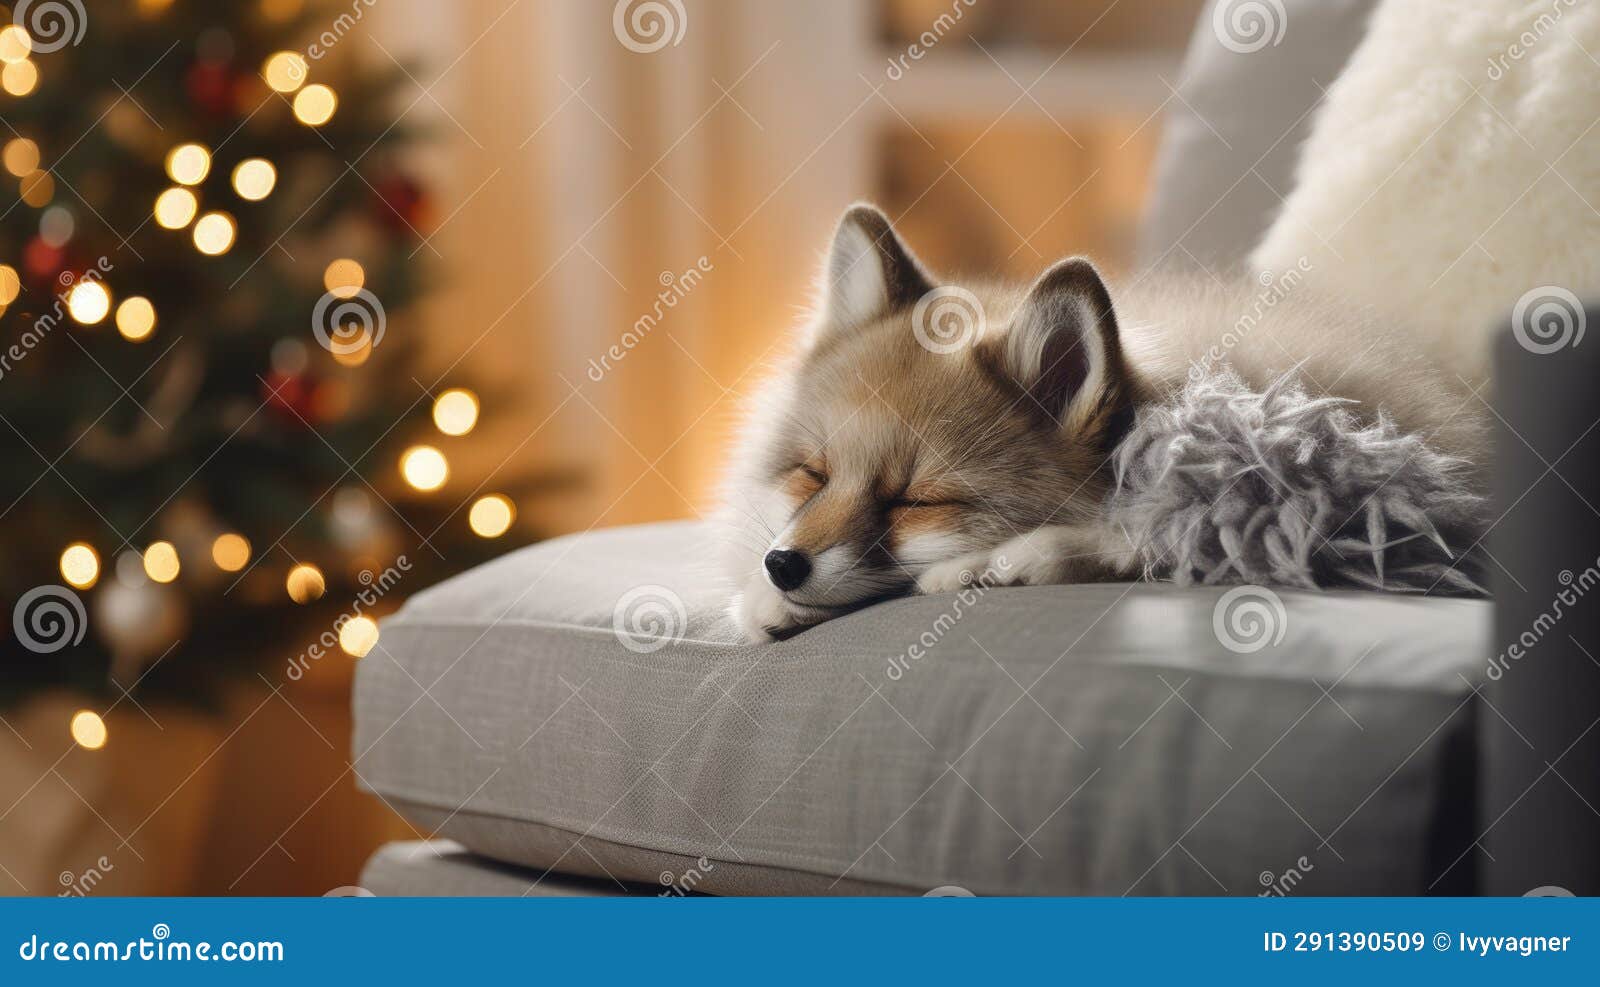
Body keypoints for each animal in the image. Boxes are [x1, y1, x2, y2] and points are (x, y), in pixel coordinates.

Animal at [721, 203, 1490, 642]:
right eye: (811, 473)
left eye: (917, 501)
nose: (783, 564)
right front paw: (766, 600)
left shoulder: (1327, 501)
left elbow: (1131, 538)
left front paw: (992, 562)